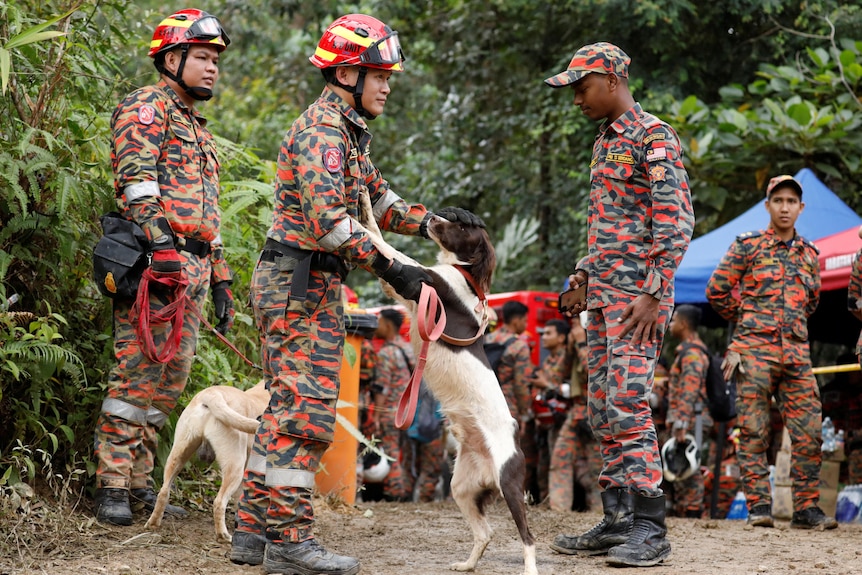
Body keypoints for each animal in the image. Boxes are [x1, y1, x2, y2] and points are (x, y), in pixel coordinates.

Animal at [145, 380, 268, 544]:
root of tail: (211, 394)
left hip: (177, 455)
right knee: (219, 502)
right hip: (235, 465)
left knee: (164, 492)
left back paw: (153, 523)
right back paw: (223, 536)